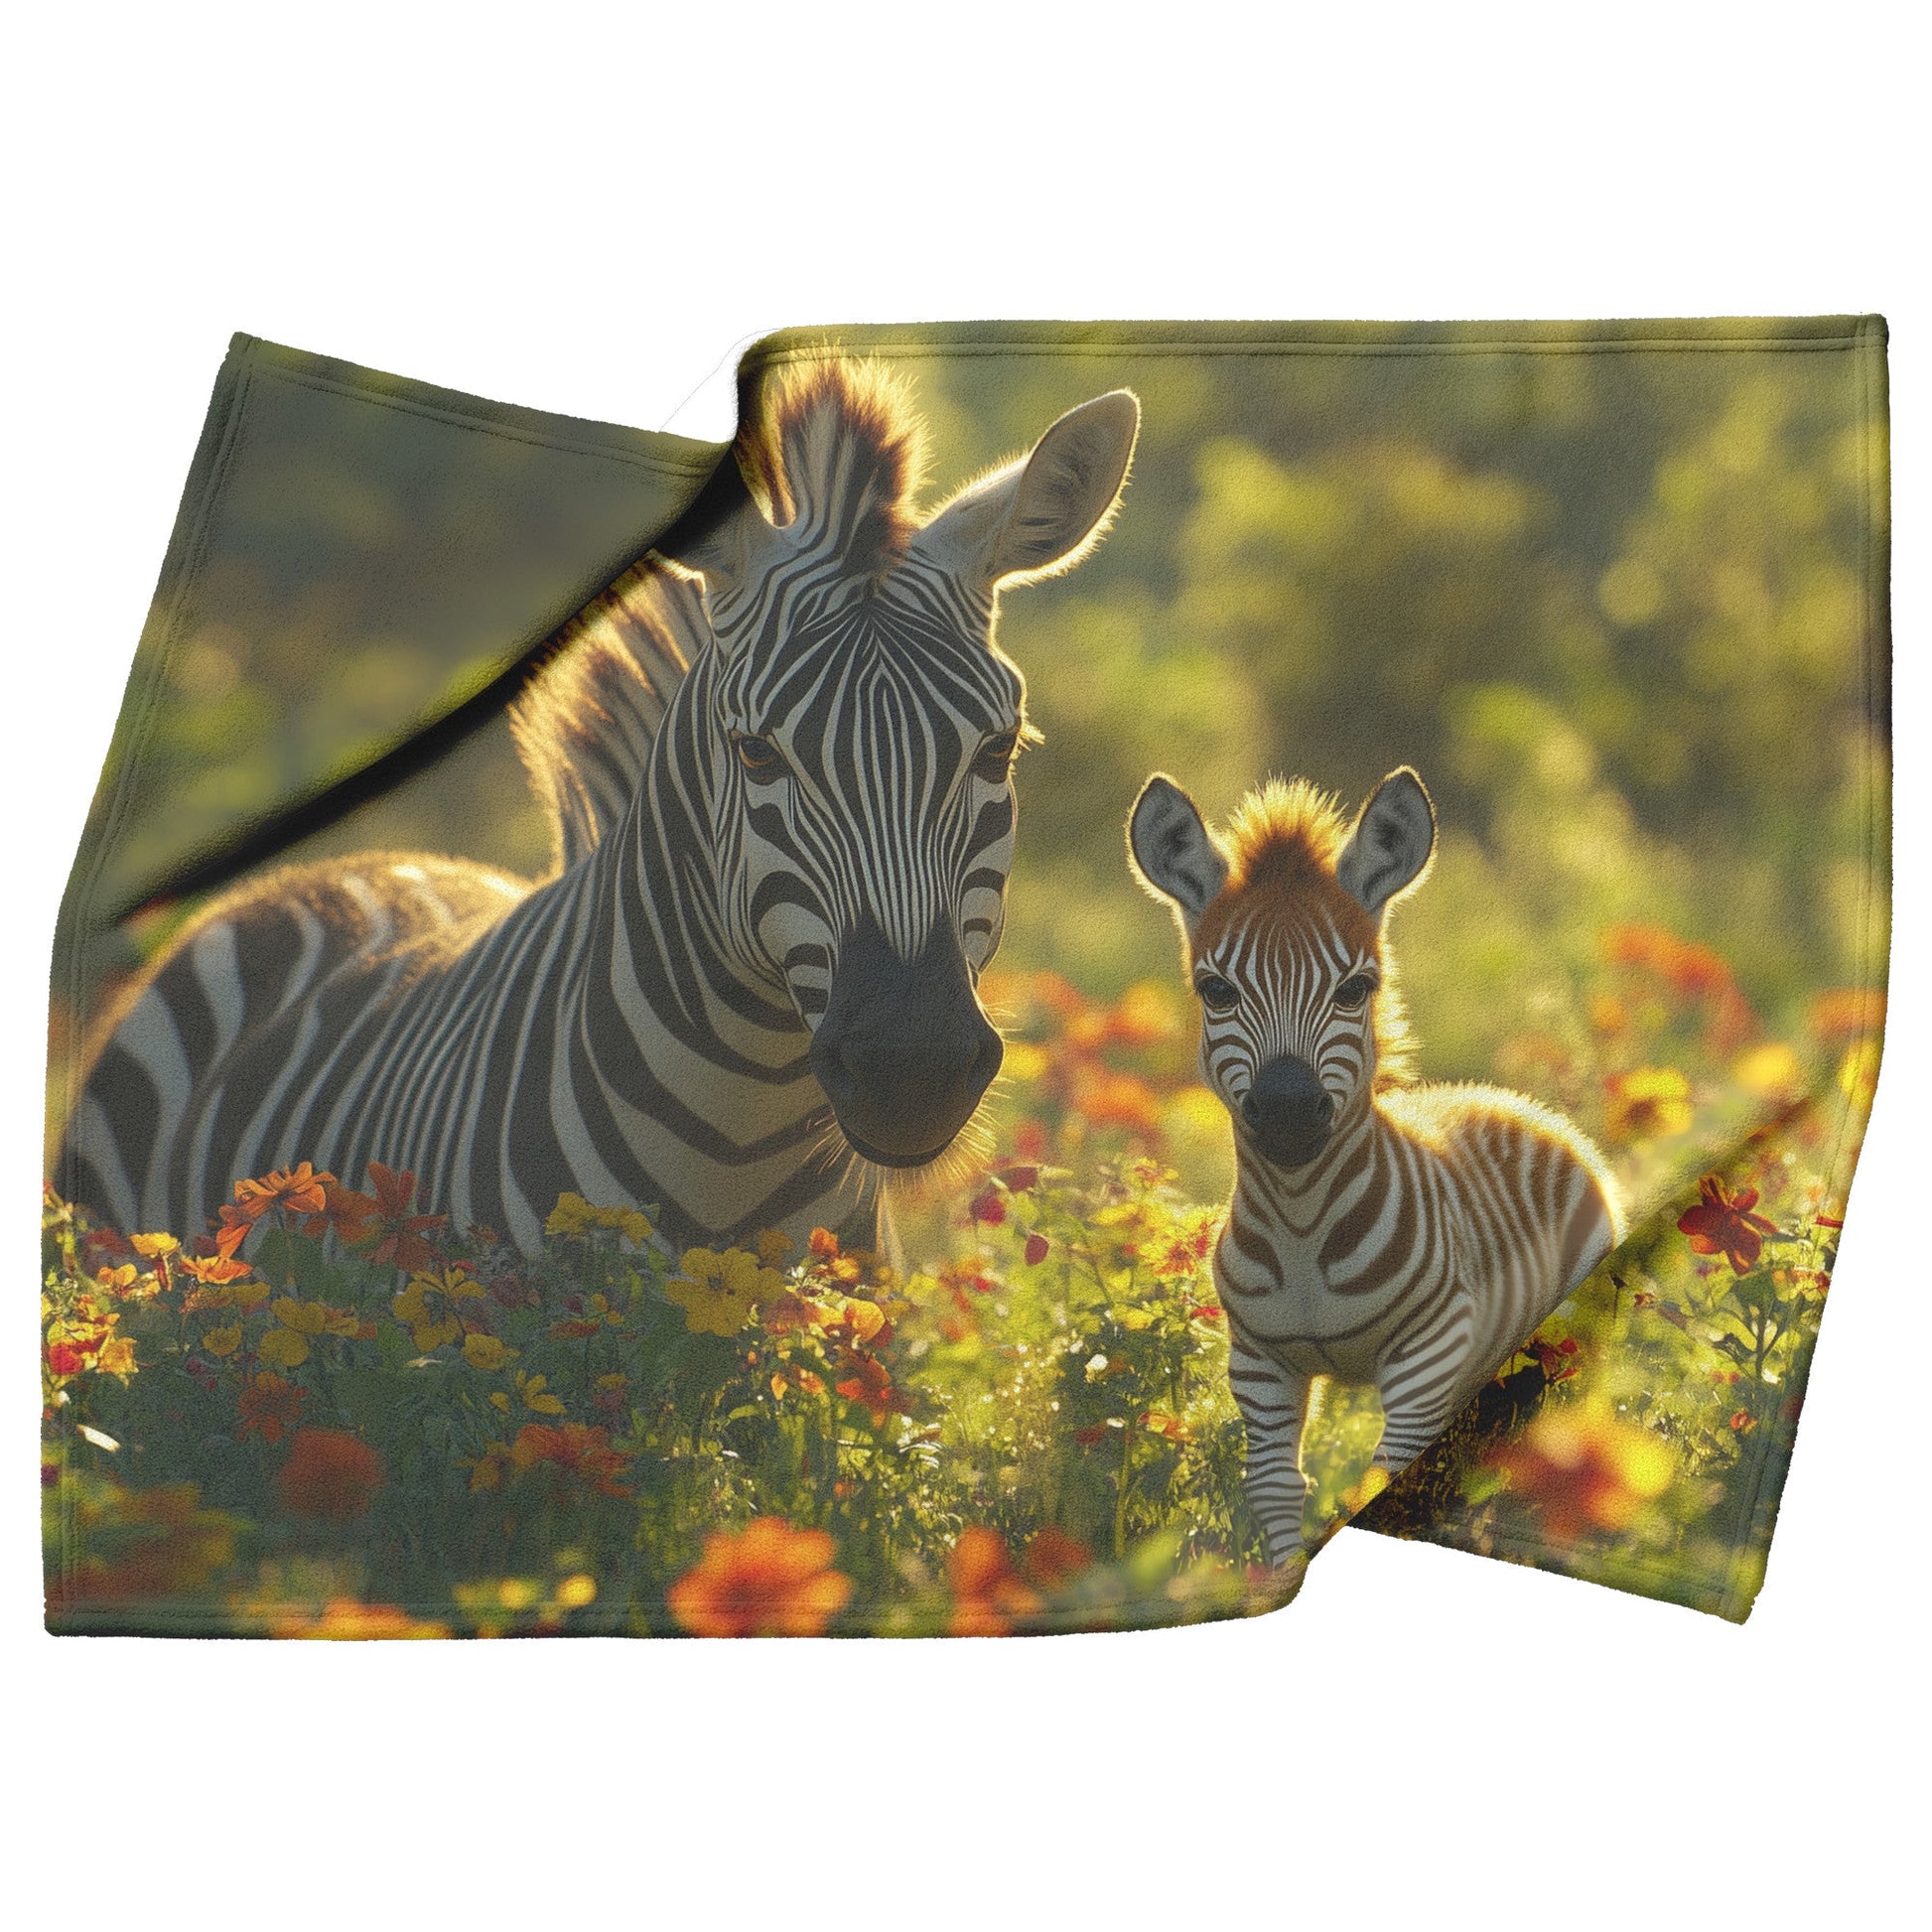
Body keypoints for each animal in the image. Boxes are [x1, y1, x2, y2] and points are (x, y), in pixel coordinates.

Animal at [1127, 764, 1621, 1563]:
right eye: (1215, 990)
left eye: (1356, 988)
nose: (1290, 1111)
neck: (1300, 1226)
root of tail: (1520, 1105)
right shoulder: (1259, 1361)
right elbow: (1275, 1488)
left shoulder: (1430, 1347)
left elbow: (1385, 1479)